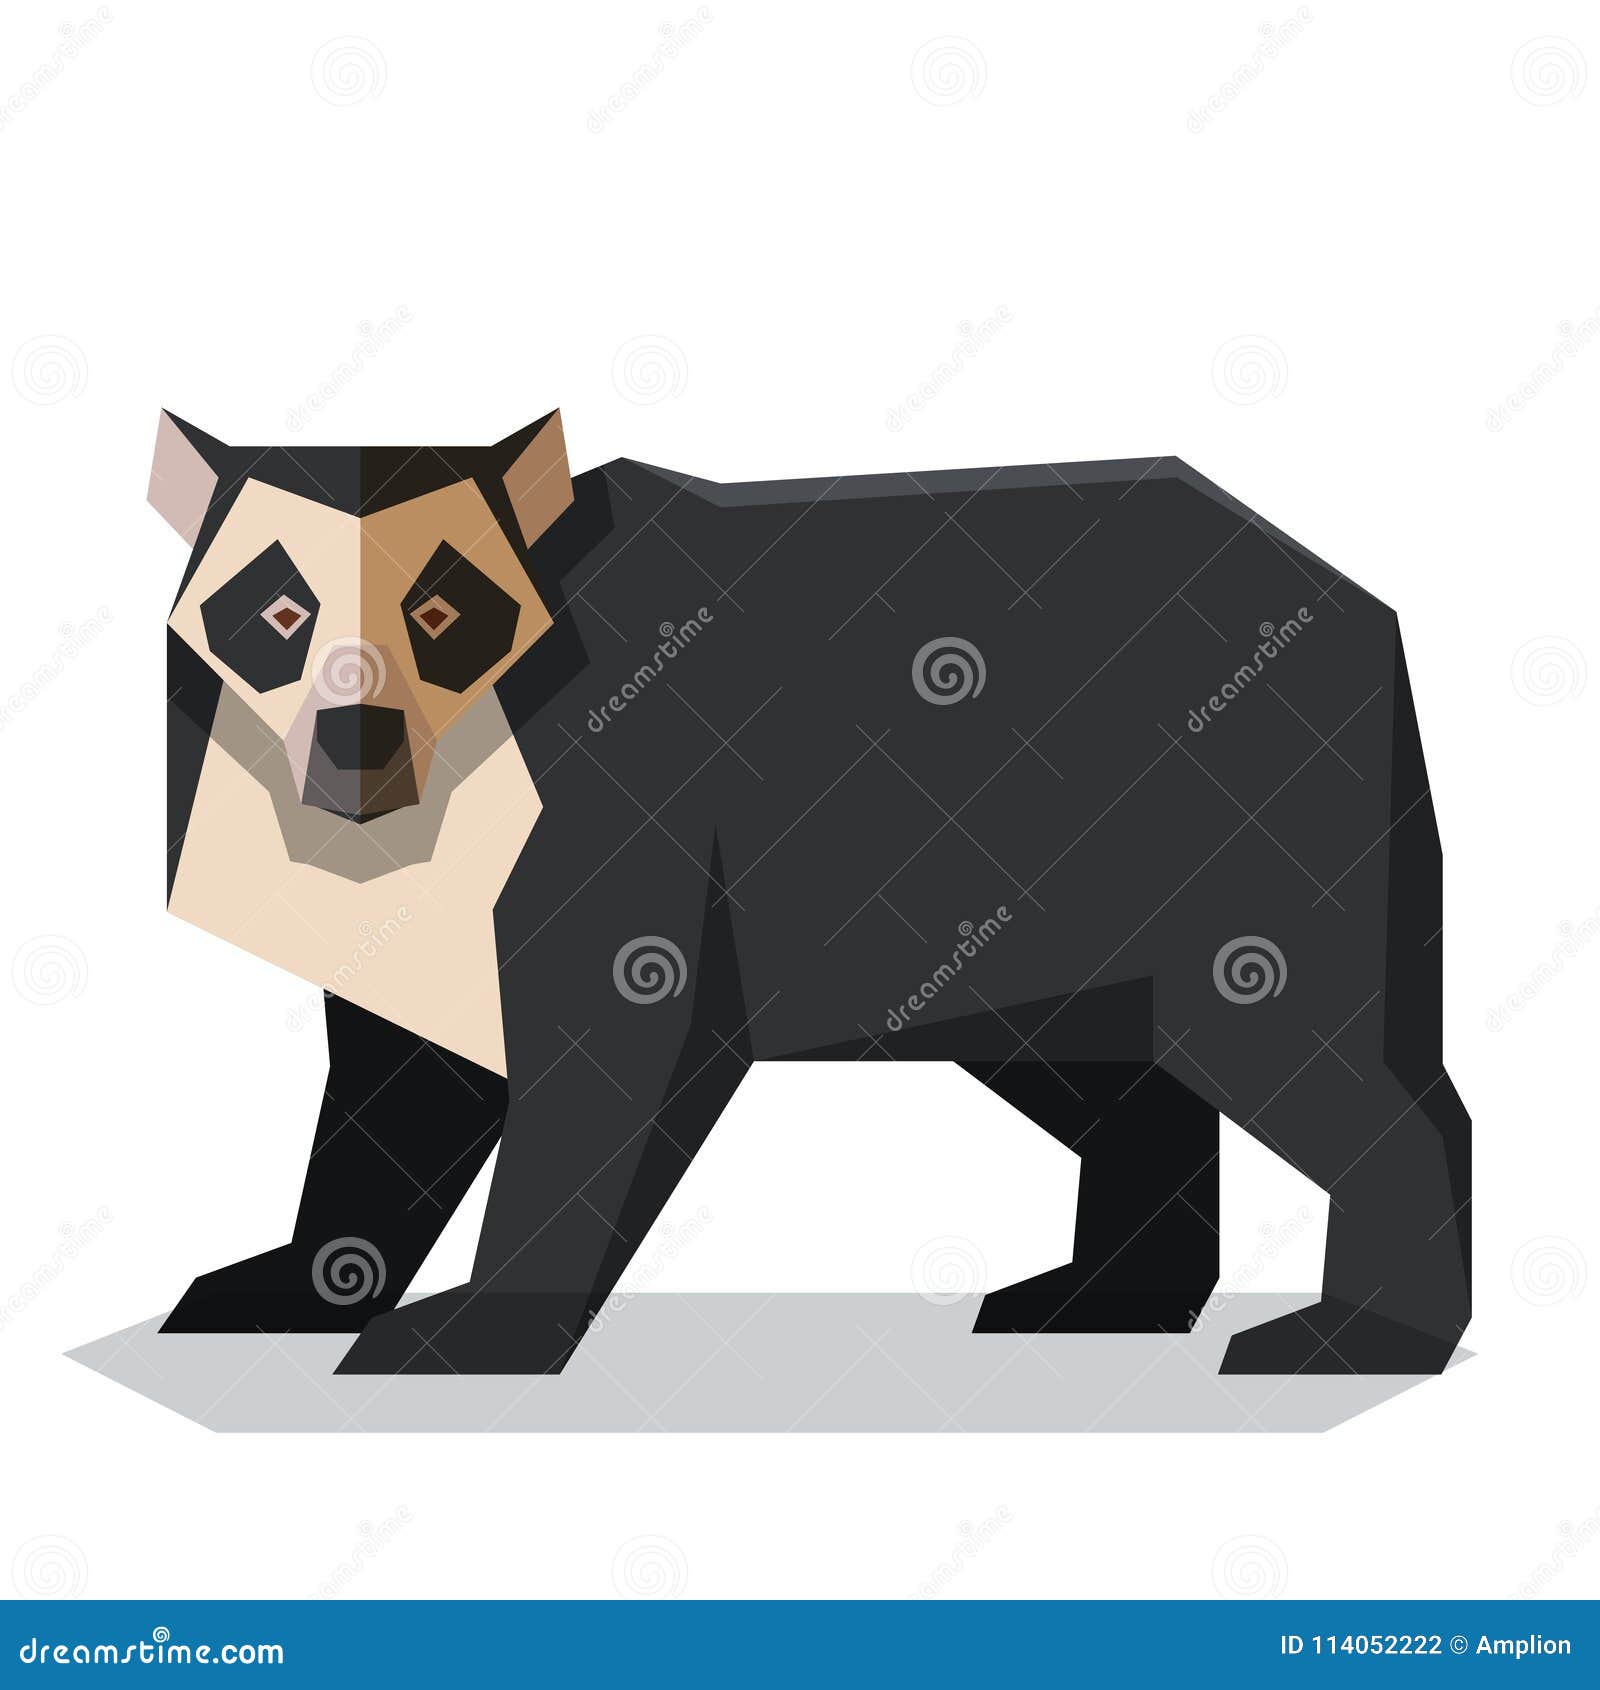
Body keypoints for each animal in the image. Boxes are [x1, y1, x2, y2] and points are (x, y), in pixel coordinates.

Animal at [149, 409, 1470, 1376]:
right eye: (278, 604)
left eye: (440, 603)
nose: (356, 736)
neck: (405, 835)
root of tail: (1356, 602)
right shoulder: (397, 948)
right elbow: (390, 1108)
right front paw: (287, 1285)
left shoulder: (617, 850)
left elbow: (598, 1079)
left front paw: (475, 1328)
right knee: (1134, 1085)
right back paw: (1099, 1300)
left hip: (1248, 867)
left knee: (1351, 1073)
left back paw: (1362, 1334)